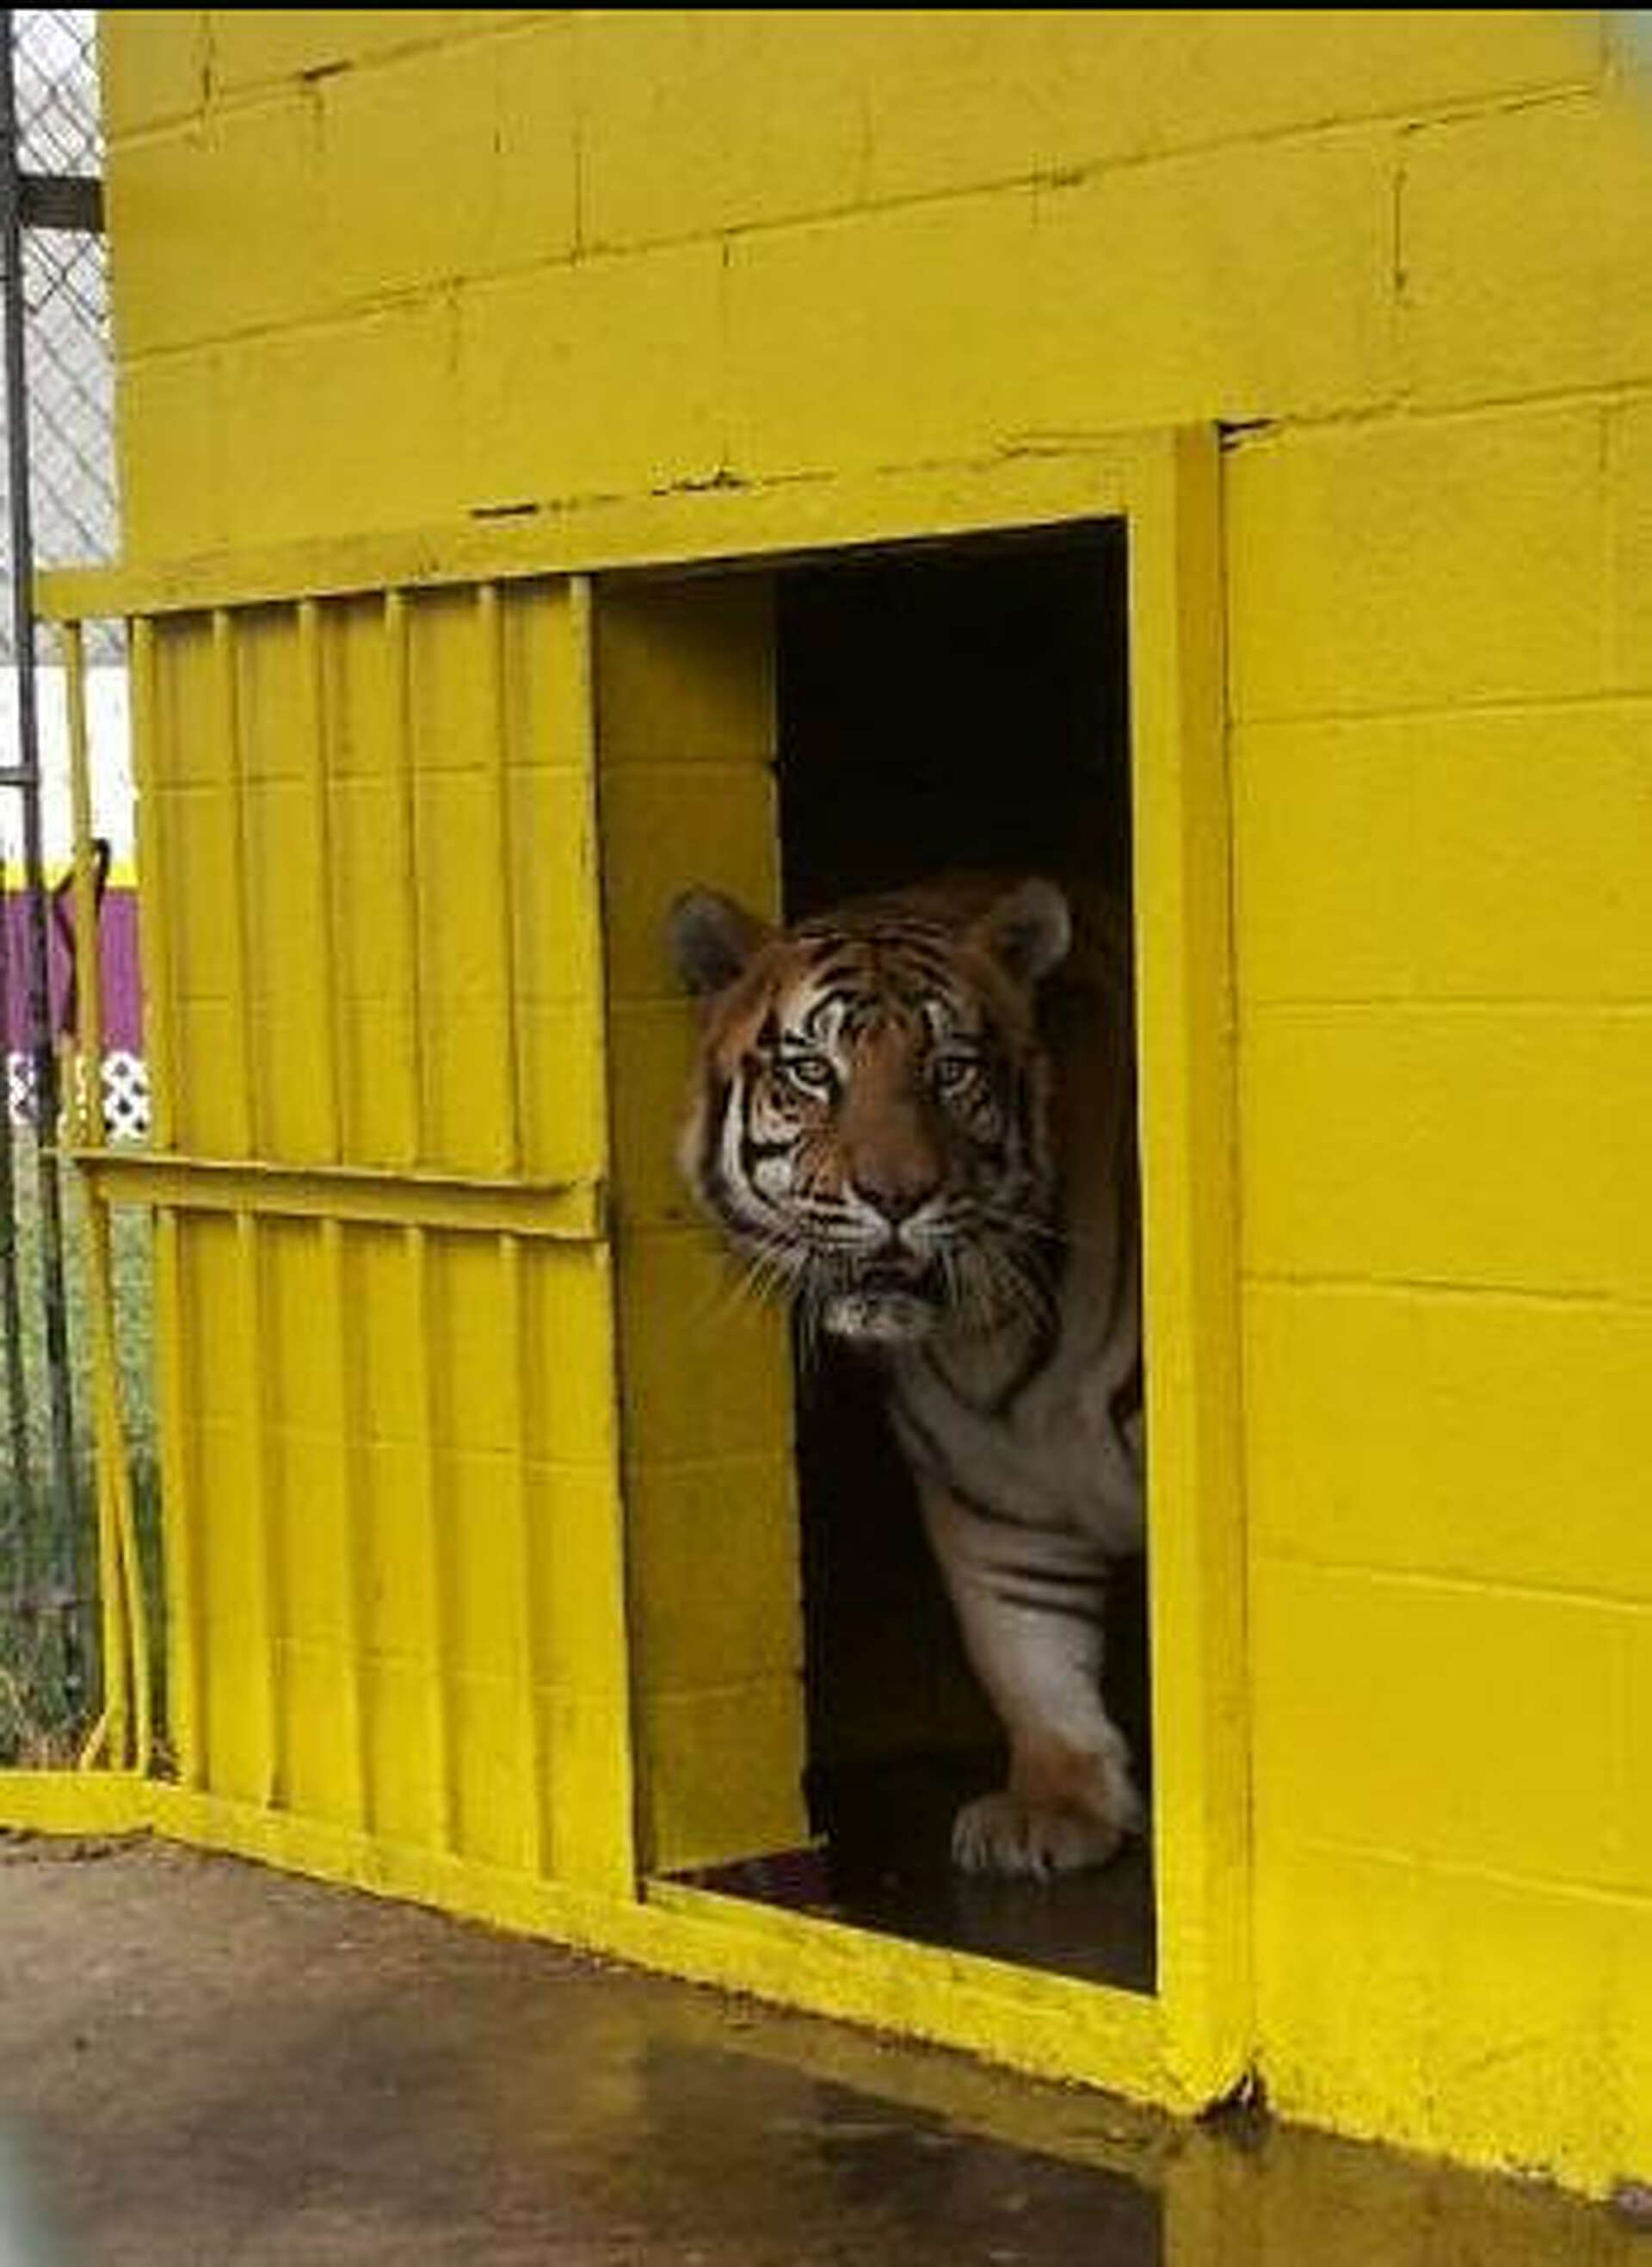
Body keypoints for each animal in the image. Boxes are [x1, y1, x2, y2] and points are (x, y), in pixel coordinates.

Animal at [667, 874, 1144, 1880]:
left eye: (951, 1070)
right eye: (814, 1073)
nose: (896, 1196)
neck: (987, 1334)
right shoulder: (996, 1490)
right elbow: (1027, 1648)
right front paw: (1057, 1804)